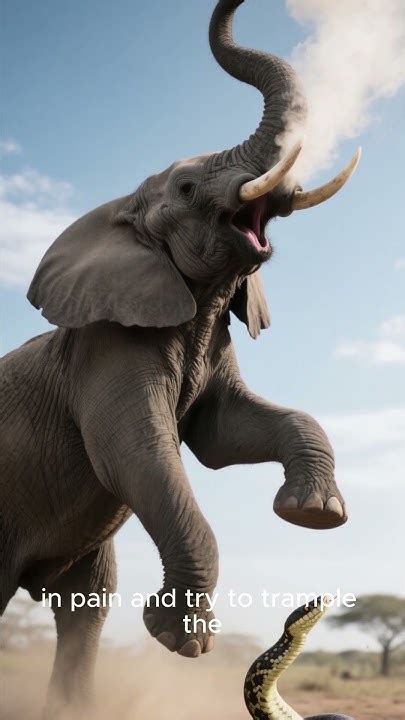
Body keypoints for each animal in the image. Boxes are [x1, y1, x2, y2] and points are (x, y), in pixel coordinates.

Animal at [0, 0, 360, 716]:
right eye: (189, 187)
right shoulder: (106, 345)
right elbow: (137, 451)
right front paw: (179, 642)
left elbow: (226, 435)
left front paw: (312, 514)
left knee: (85, 606)